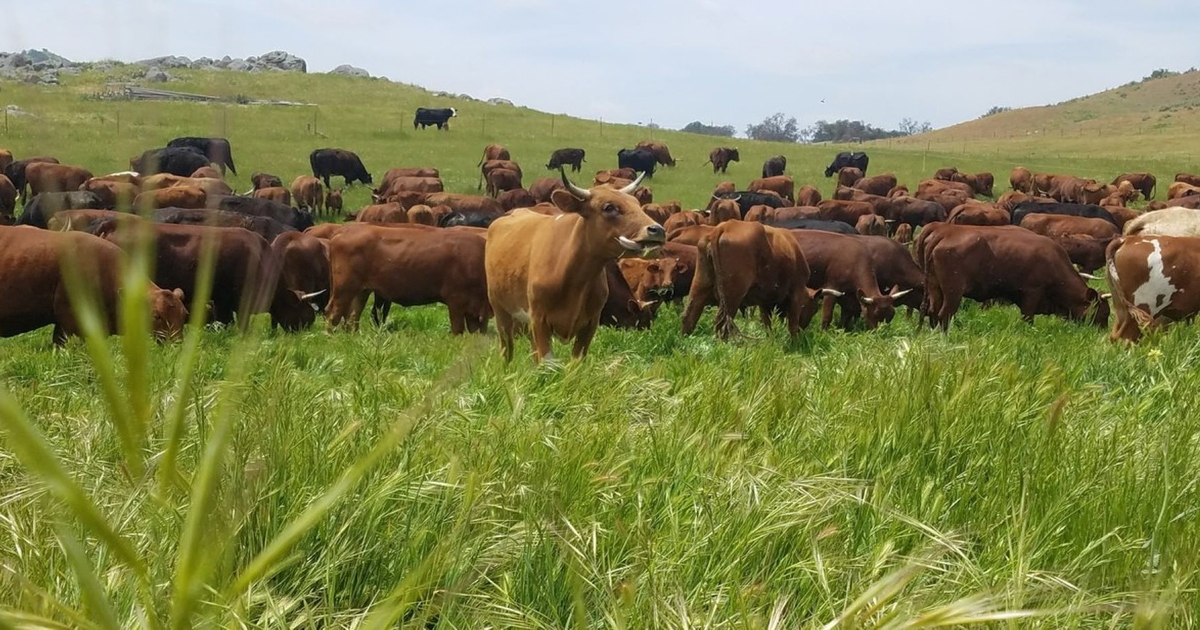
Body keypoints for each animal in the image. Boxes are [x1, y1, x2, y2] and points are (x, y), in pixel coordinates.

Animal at [326, 225, 490, 333]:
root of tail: (345, 230)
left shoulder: (475, 309)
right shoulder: (456, 301)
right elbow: (458, 329)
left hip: (361, 291)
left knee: (352, 316)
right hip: (344, 288)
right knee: (333, 312)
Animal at [485, 171, 663, 362]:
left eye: (637, 203)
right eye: (609, 207)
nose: (657, 230)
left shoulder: (590, 325)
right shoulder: (540, 320)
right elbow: (548, 362)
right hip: (500, 310)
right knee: (507, 349)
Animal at [681, 221, 812, 339]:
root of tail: (723, 227)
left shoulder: (764, 302)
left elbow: (768, 325)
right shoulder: (796, 293)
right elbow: (792, 325)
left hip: (700, 287)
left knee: (689, 316)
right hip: (732, 297)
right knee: (722, 323)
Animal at [920, 223, 1108, 331]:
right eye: (1102, 312)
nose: (1103, 332)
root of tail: (944, 233)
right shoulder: (1032, 294)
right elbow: (1028, 319)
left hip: (934, 288)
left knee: (932, 311)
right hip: (953, 292)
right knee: (945, 314)